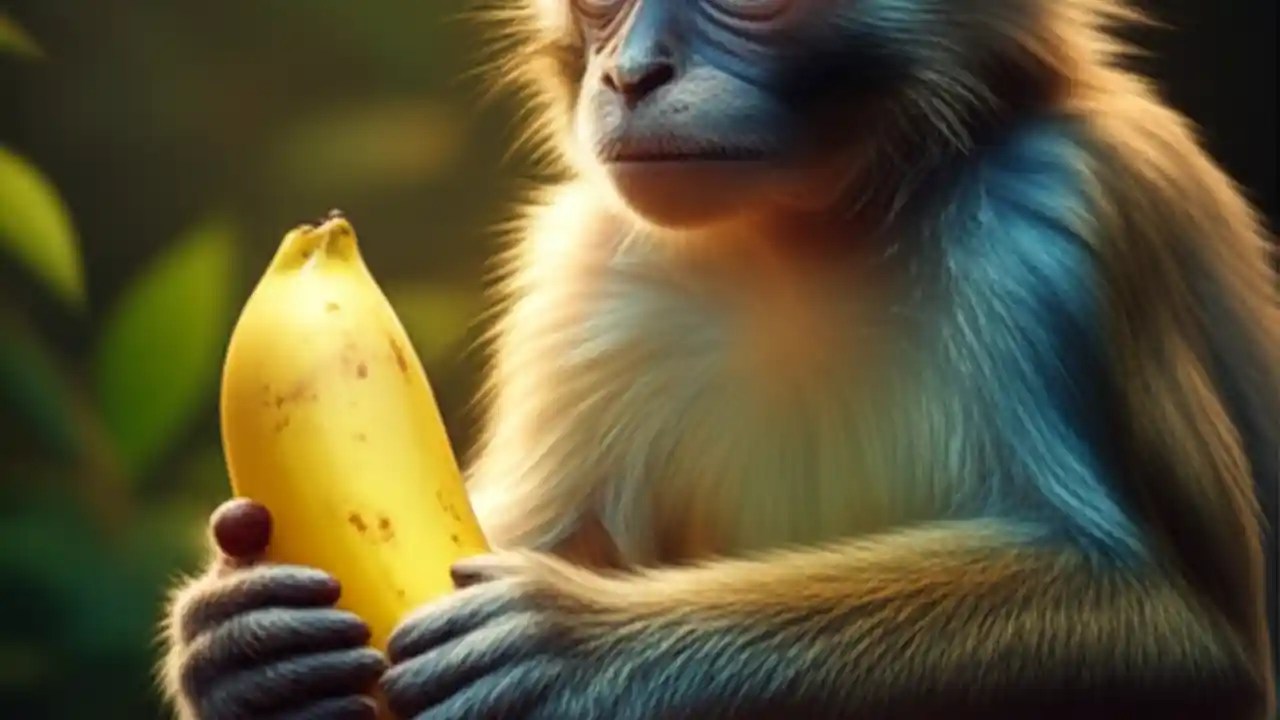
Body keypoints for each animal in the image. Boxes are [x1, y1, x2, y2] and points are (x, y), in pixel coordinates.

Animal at [158, 0, 1279, 717]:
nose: (630, 76)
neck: (809, 240)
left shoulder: (1059, 216)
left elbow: (1179, 633)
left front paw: (579, 650)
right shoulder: (587, 271)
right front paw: (235, 641)